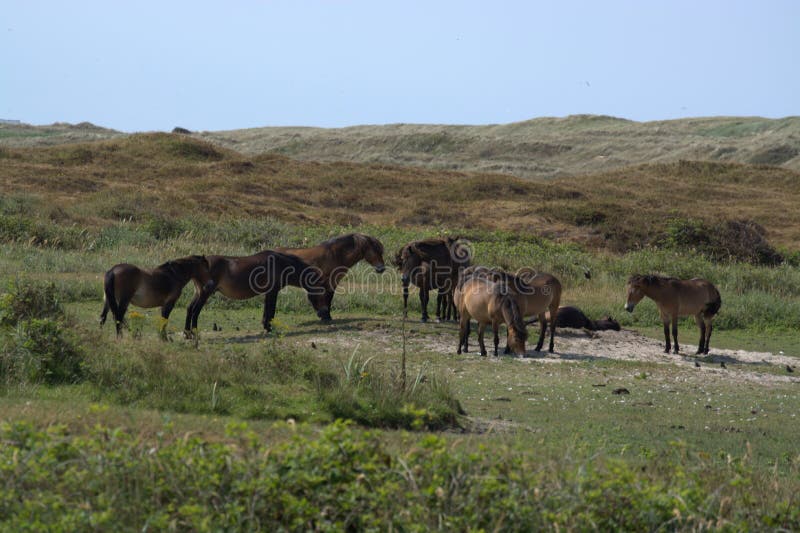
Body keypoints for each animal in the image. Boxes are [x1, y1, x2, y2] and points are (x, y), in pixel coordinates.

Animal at [184, 250, 329, 335]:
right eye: (323, 293)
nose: (324, 314)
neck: (281, 264)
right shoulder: (273, 292)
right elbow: (271, 311)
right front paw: (269, 328)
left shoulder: (268, 293)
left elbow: (266, 311)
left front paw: (265, 326)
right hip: (204, 293)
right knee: (195, 311)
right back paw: (194, 332)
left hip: (198, 293)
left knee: (190, 309)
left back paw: (187, 333)